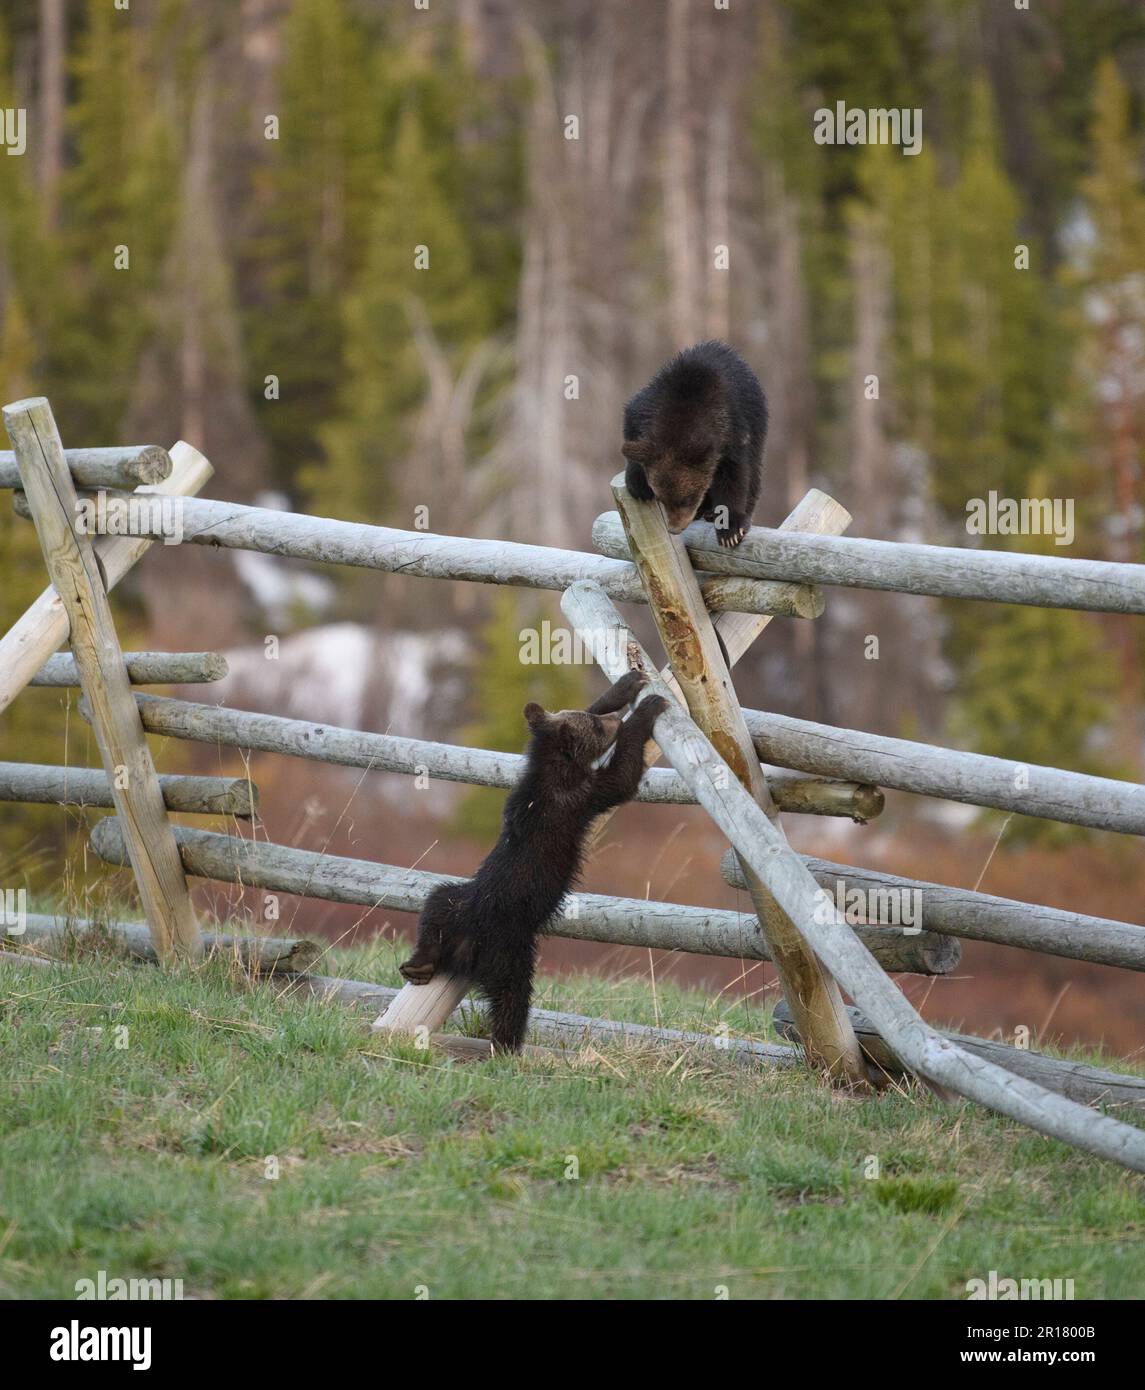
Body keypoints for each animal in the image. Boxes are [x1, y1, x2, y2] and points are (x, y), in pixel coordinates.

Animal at [399, 669, 668, 1052]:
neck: (556, 770)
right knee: (513, 996)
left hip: (457, 905)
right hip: (510, 947)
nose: (615, 719)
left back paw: (418, 966)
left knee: (435, 901)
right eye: (596, 728)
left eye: (593, 719)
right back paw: (507, 1045)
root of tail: (466, 938)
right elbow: (622, 777)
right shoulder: (577, 798)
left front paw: (627, 683)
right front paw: (648, 707)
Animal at [621, 340, 768, 548]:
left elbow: (735, 477)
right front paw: (638, 484)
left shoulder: (733, 432)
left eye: (687, 498)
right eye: (661, 498)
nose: (674, 528)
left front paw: (730, 529)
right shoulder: (645, 407)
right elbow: (632, 434)